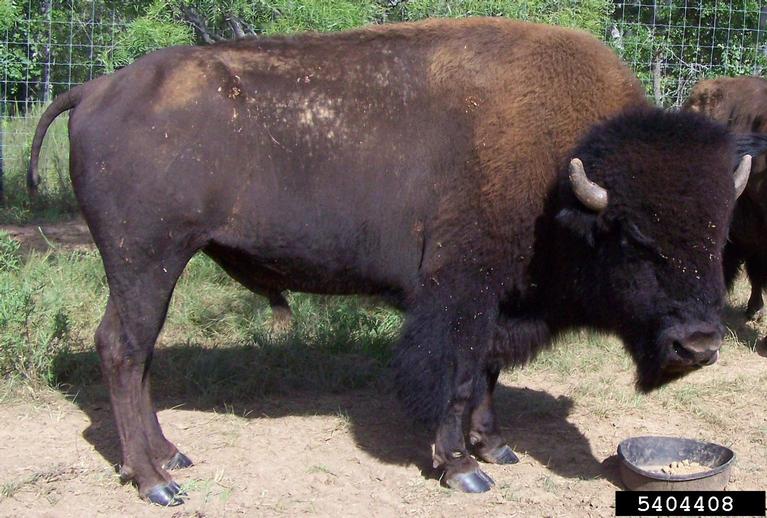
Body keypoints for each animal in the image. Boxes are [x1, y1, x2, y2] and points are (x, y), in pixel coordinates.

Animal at [28, 18, 767, 504]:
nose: (699, 345)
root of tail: (95, 88)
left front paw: (492, 446)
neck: (561, 173)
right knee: (123, 349)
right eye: (633, 237)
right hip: (146, 260)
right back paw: (156, 481)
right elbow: (458, 376)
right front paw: (463, 469)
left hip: (153, 267)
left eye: (716, 237)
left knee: (139, 353)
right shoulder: (459, 292)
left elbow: (486, 374)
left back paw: (167, 456)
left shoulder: (498, 299)